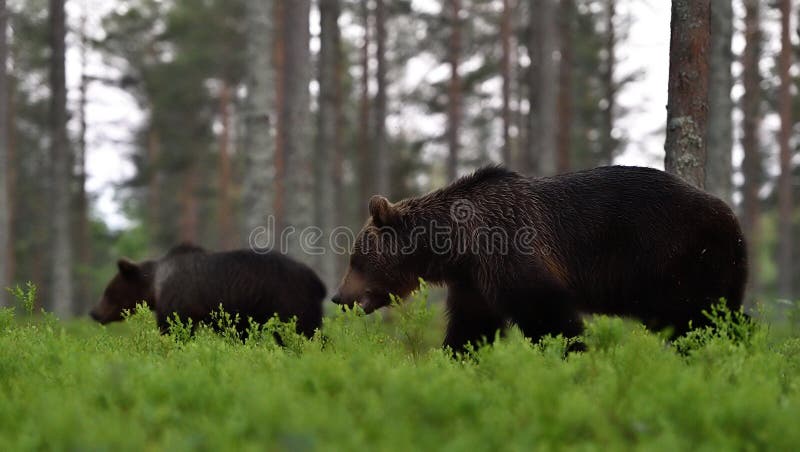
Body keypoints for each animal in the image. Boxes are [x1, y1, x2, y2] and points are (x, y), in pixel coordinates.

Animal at [90, 243, 326, 338]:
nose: (94, 312)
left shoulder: (178, 300)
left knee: (304, 331)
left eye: (108, 291)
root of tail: (318, 281)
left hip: (288, 302)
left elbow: (174, 328)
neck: (156, 287)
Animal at [332, 165, 748, 352]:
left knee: (698, 316)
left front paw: (574, 356)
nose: (338, 296)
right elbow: (471, 327)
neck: (457, 246)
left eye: (356, 258)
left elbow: (548, 316)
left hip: (678, 256)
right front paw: (455, 360)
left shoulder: (511, 253)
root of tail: (732, 216)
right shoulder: (474, 280)